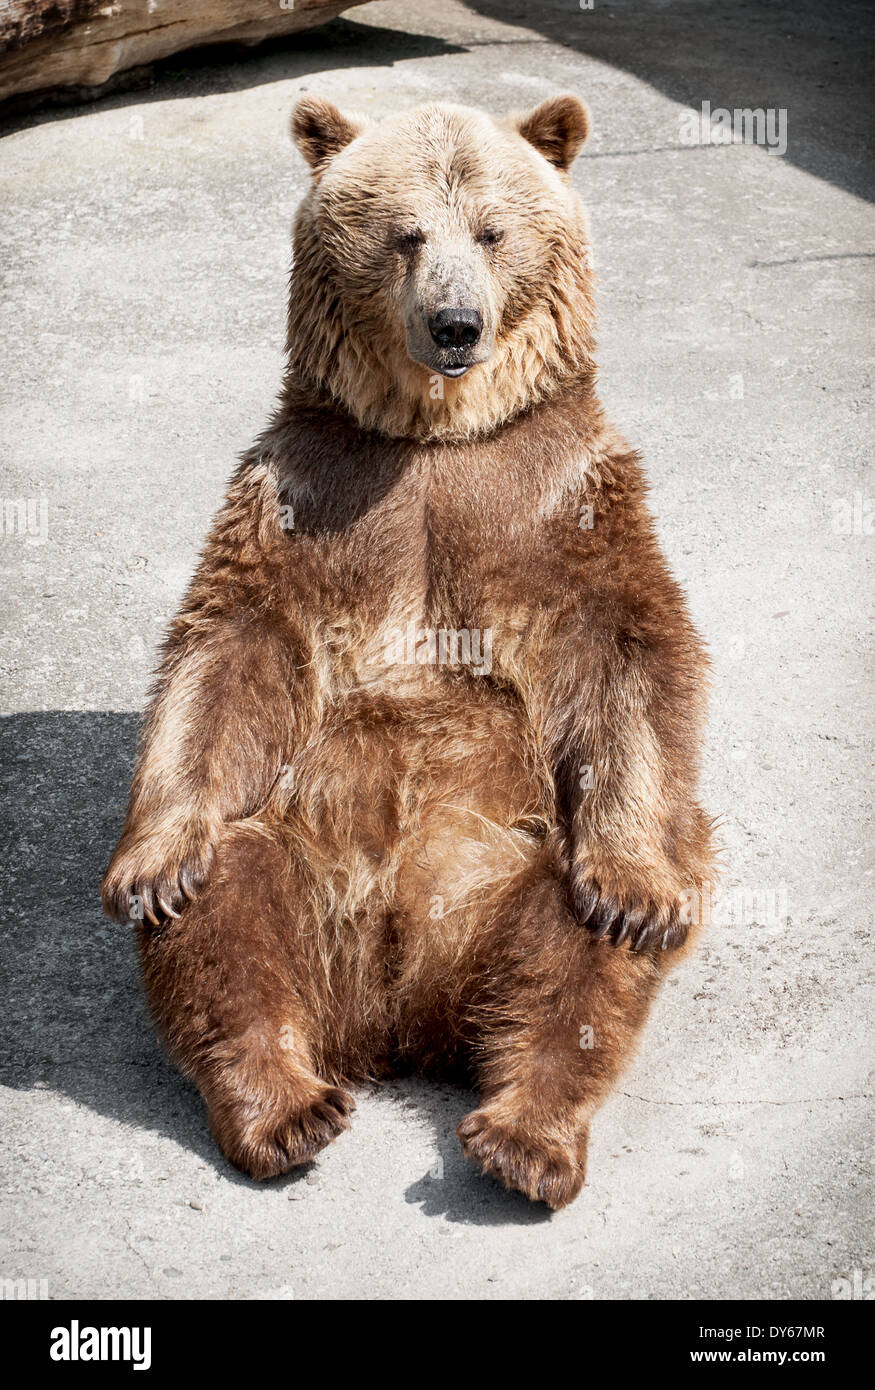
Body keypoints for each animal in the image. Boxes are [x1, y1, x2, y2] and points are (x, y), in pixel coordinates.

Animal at [102, 94, 715, 1210]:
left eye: (492, 229)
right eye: (404, 234)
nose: (454, 323)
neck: (435, 438)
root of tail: (392, 1018)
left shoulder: (557, 495)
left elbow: (630, 650)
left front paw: (634, 888)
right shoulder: (306, 491)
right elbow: (227, 646)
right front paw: (152, 865)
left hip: (512, 868)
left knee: (571, 949)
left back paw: (524, 1134)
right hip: (301, 867)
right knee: (231, 905)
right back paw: (285, 1105)